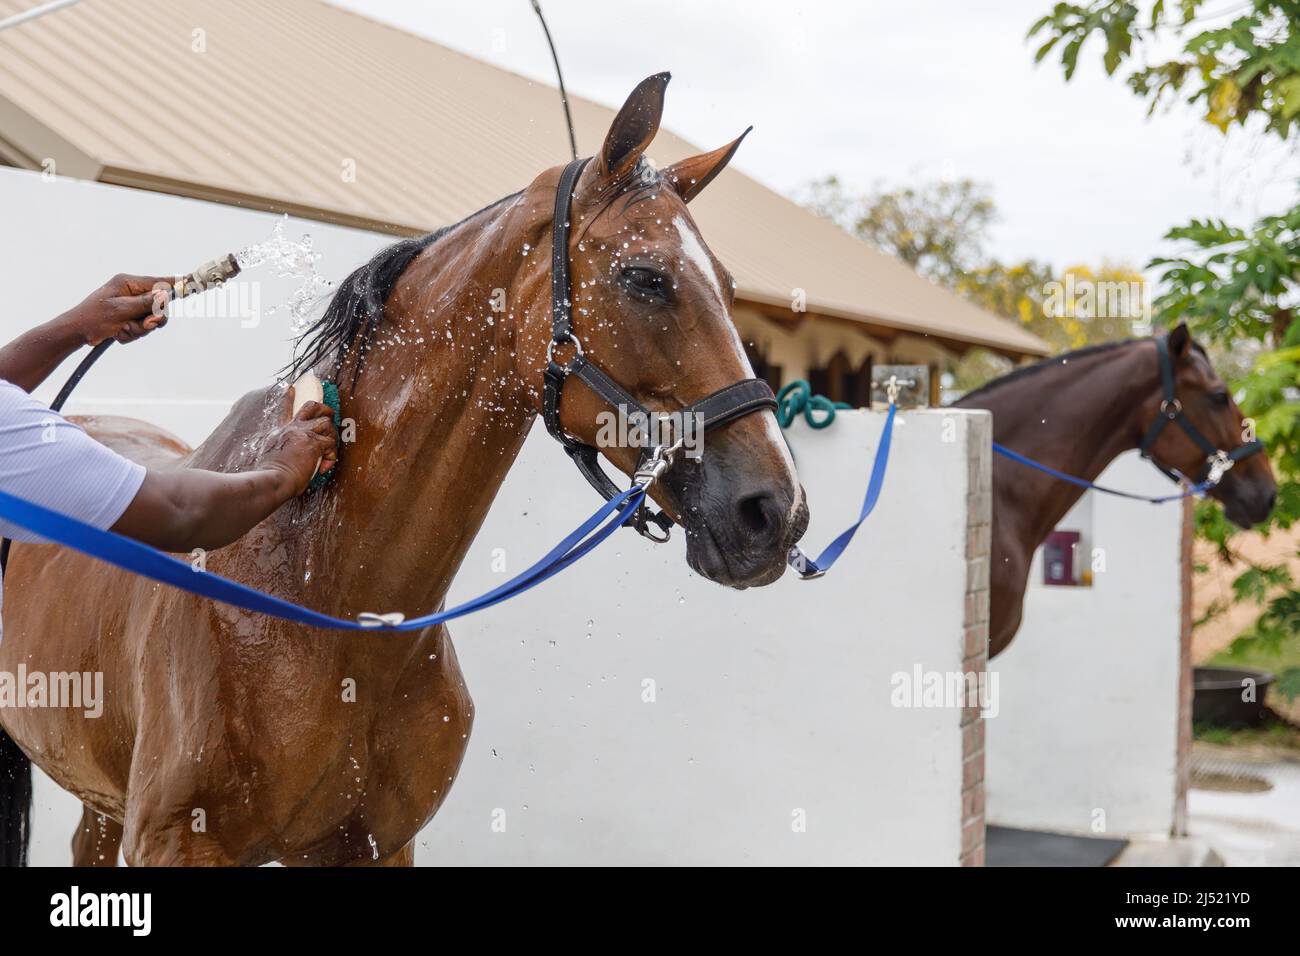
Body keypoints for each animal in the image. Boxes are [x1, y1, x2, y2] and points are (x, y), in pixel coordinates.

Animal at [0, 73, 809, 866]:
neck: (326, 605)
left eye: (729, 287)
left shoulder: (380, 847)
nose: (776, 511)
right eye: (644, 277)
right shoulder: (178, 845)